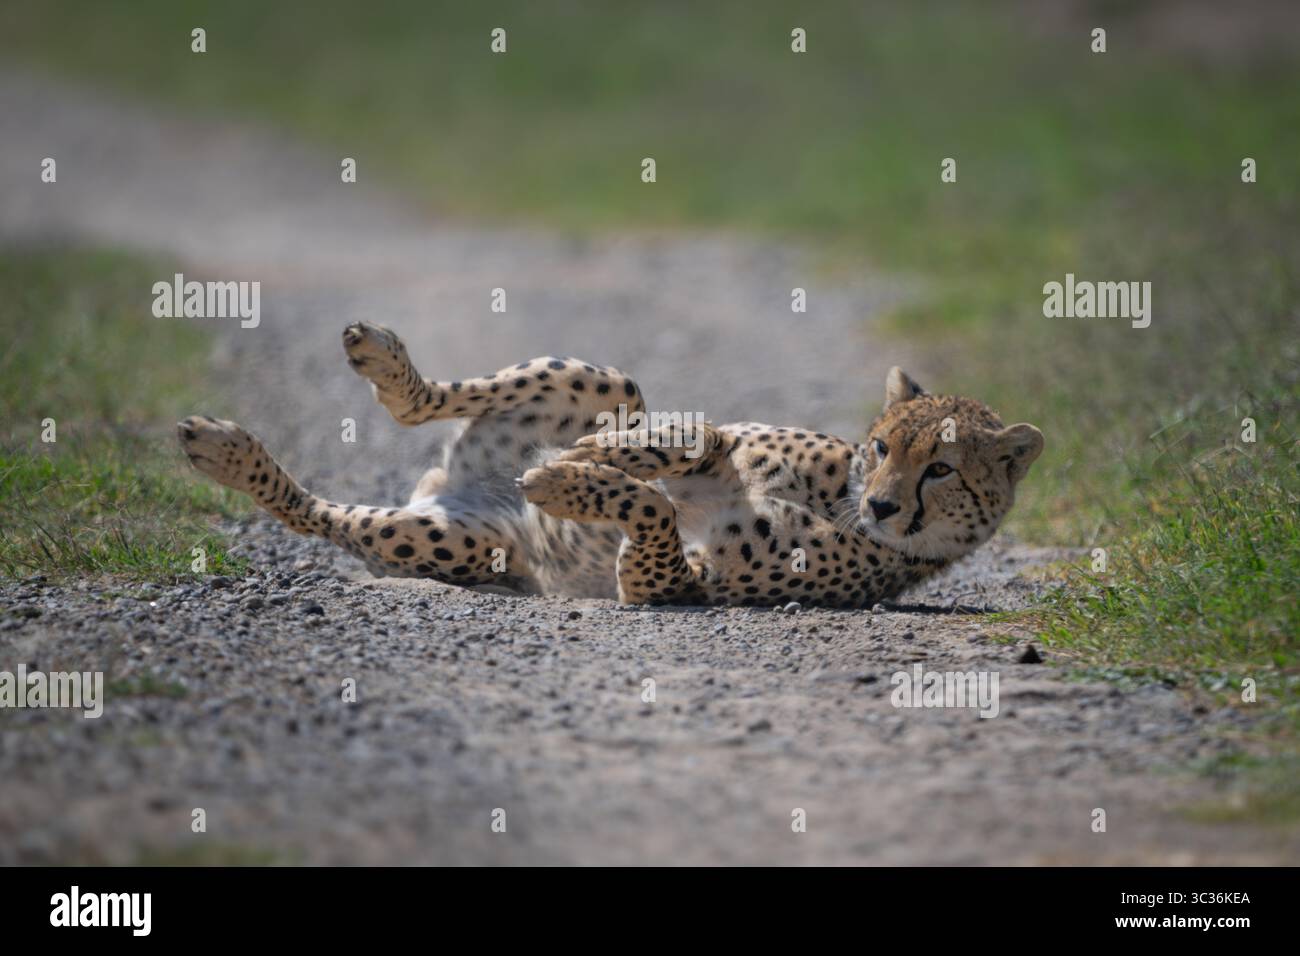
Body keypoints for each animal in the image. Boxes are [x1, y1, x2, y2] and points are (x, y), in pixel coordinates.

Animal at [178, 322, 1043, 608]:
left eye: (944, 470)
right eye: (884, 446)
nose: (885, 505)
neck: (838, 498)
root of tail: (451, 487)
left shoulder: (674, 586)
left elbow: (651, 510)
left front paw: (563, 479)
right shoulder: (714, 435)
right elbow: (686, 440)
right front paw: (583, 458)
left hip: (453, 541)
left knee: (313, 513)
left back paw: (226, 452)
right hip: (603, 382)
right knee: (419, 407)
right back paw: (384, 362)